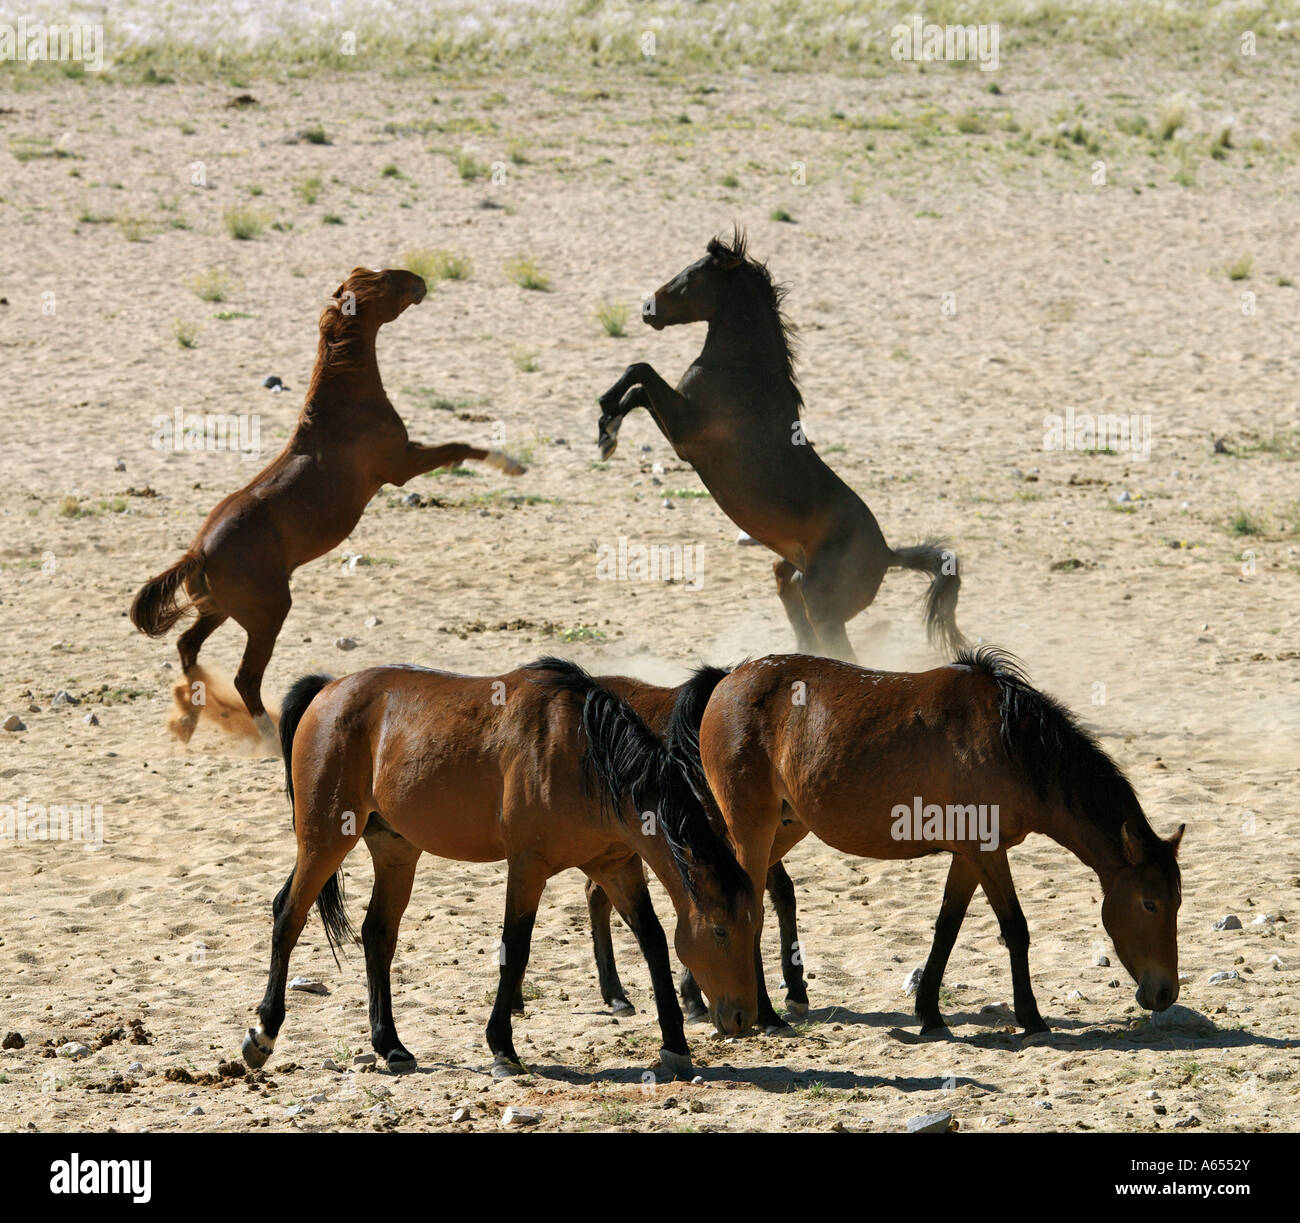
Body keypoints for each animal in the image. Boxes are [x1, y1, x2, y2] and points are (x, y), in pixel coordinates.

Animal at [129, 268, 525, 749]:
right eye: (388, 280)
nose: (420, 281)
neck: (344, 404)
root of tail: (199, 551)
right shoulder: (402, 466)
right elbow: (459, 446)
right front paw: (512, 464)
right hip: (267, 615)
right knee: (245, 677)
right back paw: (267, 735)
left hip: (217, 609)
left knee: (188, 647)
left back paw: (190, 718)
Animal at [239, 657, 758, 1081]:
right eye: (719, 931)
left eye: (752, 929)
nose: (743, 1020)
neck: (584, 752)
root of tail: (329, 689)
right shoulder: (528, 866)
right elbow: (517, 948)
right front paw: (503, 1049)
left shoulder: (617, 865)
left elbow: (652, 941)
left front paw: (675, 1044)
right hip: (325, 838)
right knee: (288, 914)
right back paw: (264, 1033)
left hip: (395, 852)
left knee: (378, 934)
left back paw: (391, 1046)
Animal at [596, 230, 964, 662]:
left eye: (692, 275)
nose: (647, 309)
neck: (741, 368)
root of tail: (888, 553)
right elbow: (638, 388)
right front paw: (606, 433)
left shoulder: (684, 431)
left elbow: (639, 373)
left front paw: (606, 424)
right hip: (790, 580)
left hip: (821, 604)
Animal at [646, 648, 1183, 1035]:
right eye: (1150, 903)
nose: (1165, 994)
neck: (1010, 744)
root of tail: (728, 679)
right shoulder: (987, 852)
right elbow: (1016, 929)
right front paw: (1030, 1017)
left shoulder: (970, 856)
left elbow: (947, 927)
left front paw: (930, 1012)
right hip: (751, 831)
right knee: (748, 907)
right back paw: (766, 1013)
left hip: (782, 827)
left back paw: (704, 996)